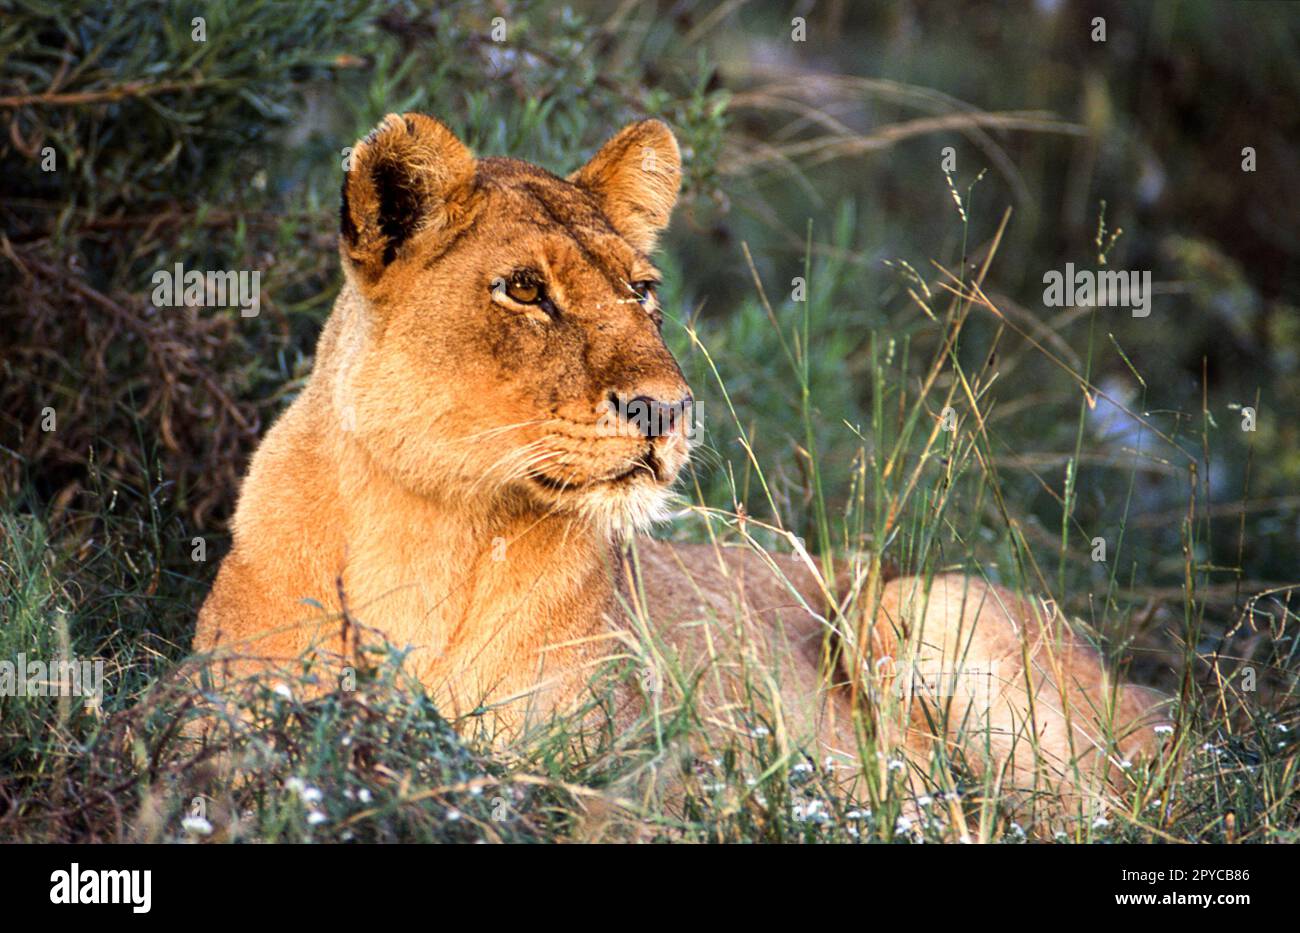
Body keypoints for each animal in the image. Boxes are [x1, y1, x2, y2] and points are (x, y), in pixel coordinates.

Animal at [193, 113, 1170, 818]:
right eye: (525, 290)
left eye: (643, 290)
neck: (433, 532)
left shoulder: (630, 775)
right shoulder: (212, 734)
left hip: (928, 606)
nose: (668, 410)